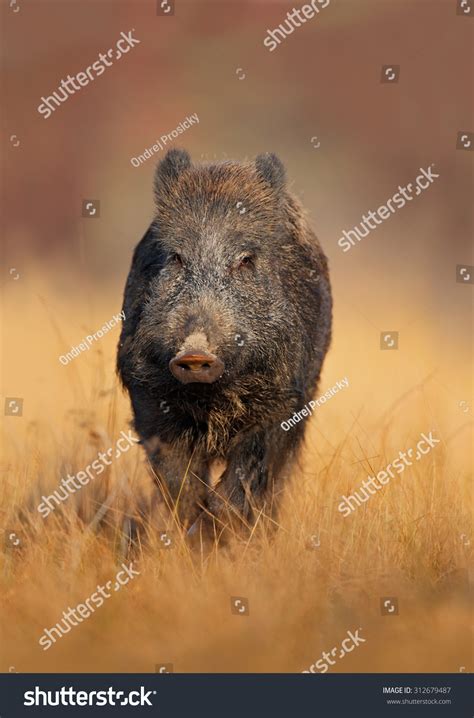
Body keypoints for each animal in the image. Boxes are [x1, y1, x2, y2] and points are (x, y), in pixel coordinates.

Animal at [117, 149, 332, 539]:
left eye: (245, 260)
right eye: (176, 257)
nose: (195, 353)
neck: (211, 396)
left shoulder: (280, 404)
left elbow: (245, 479)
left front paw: (226, 533)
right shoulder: (149, 399)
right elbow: (180, 486)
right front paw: (200, 538)